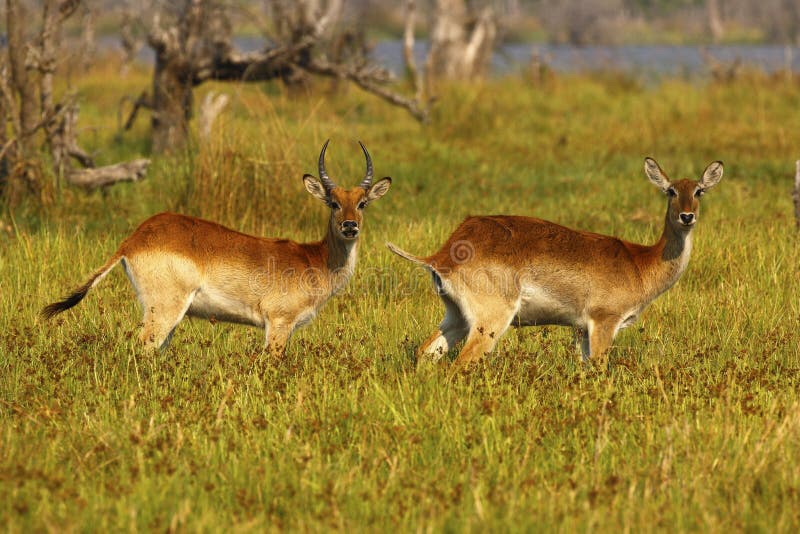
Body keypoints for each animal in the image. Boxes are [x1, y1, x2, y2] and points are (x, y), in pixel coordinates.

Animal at [42, 140, 392, 355]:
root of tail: (134, 239)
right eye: (333, 202)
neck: (314, 259)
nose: (350, 226)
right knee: (142, 346)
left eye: (362, 203)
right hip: (165, 309)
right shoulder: (278, 324)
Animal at [387, 158, 723, 368]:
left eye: (699, 191)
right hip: (491, 321)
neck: (640, 263)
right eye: (670, 191)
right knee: (461, 363)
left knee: (425, 352)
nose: (687, 216)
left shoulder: (580, 330)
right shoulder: (604, 322)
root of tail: (441, 255)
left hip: (456, 317)